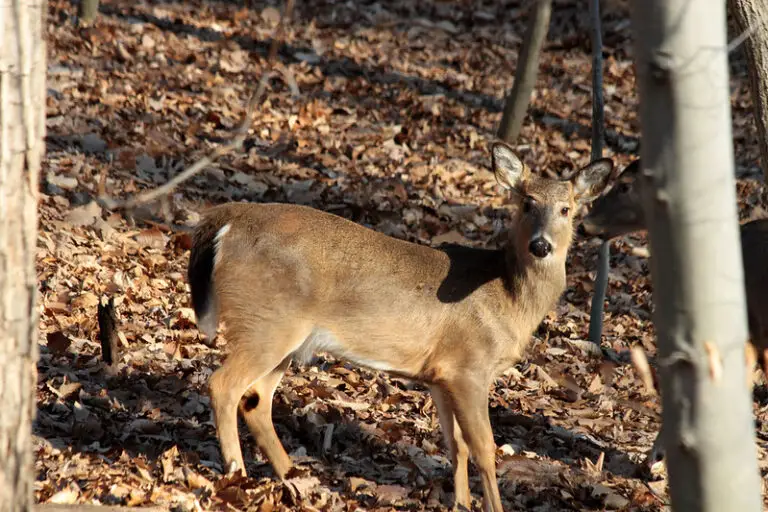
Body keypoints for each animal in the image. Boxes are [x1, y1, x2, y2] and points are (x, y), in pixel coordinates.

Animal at [187, 141, 616, 512]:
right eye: (527, 203)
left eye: (566, 209)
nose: (541, 246)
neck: (508, 297)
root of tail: (225, 219)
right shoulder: (469, 367)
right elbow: (484, 447)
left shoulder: (440, 374)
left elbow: (456, 444)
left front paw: (460, 505)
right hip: (266, 323)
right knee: (223, 385)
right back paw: (237, 475)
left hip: (282, 337)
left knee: (256, 400)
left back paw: (294, 480)